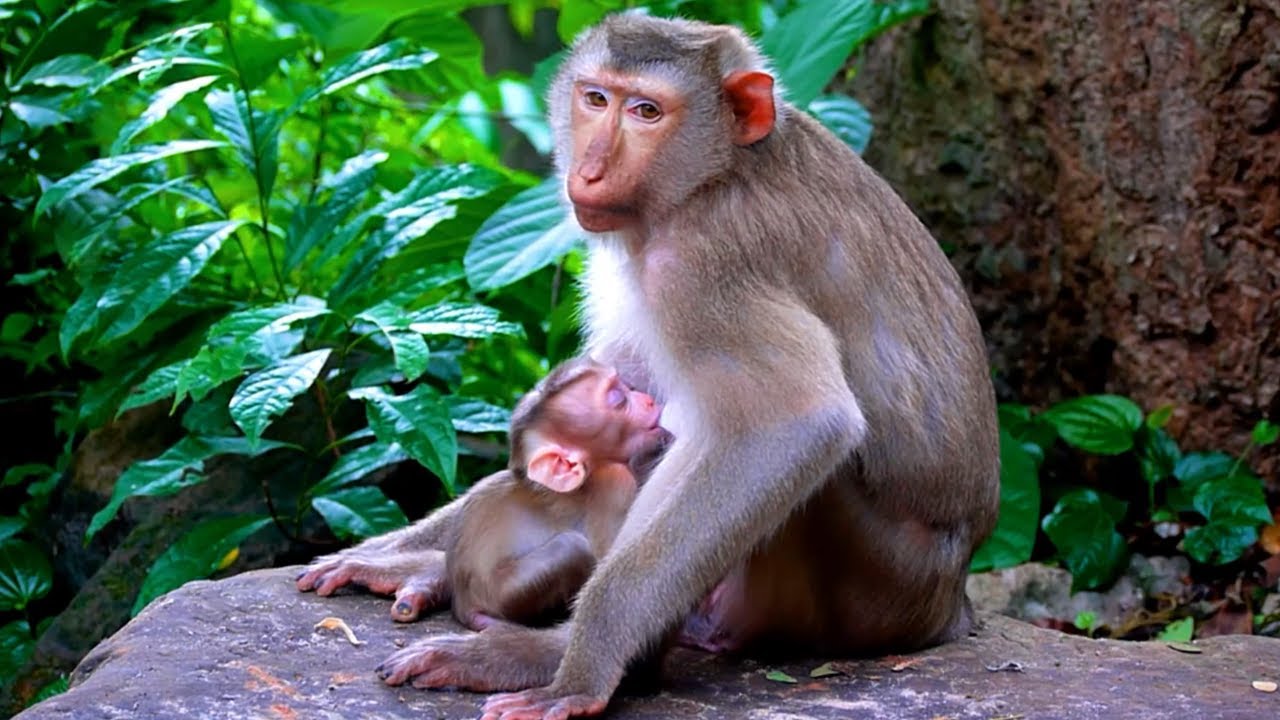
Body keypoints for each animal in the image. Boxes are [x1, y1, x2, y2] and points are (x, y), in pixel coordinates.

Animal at [297, 358, 671, 630]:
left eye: (627, 388)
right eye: (619, 400)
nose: (649, 399)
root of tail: (464, 607)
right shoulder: (614, 482)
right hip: (505, 593)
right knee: (571, 548)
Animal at [370, 15, 999, 719]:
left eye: (647, 112)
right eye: (596, 99)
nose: (591, 169)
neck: (713, 174)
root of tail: (953, 602)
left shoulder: (701, 265)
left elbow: (796, 425)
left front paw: (575, 667)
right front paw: (409, 559)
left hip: (871, 589)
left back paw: (568, 655)